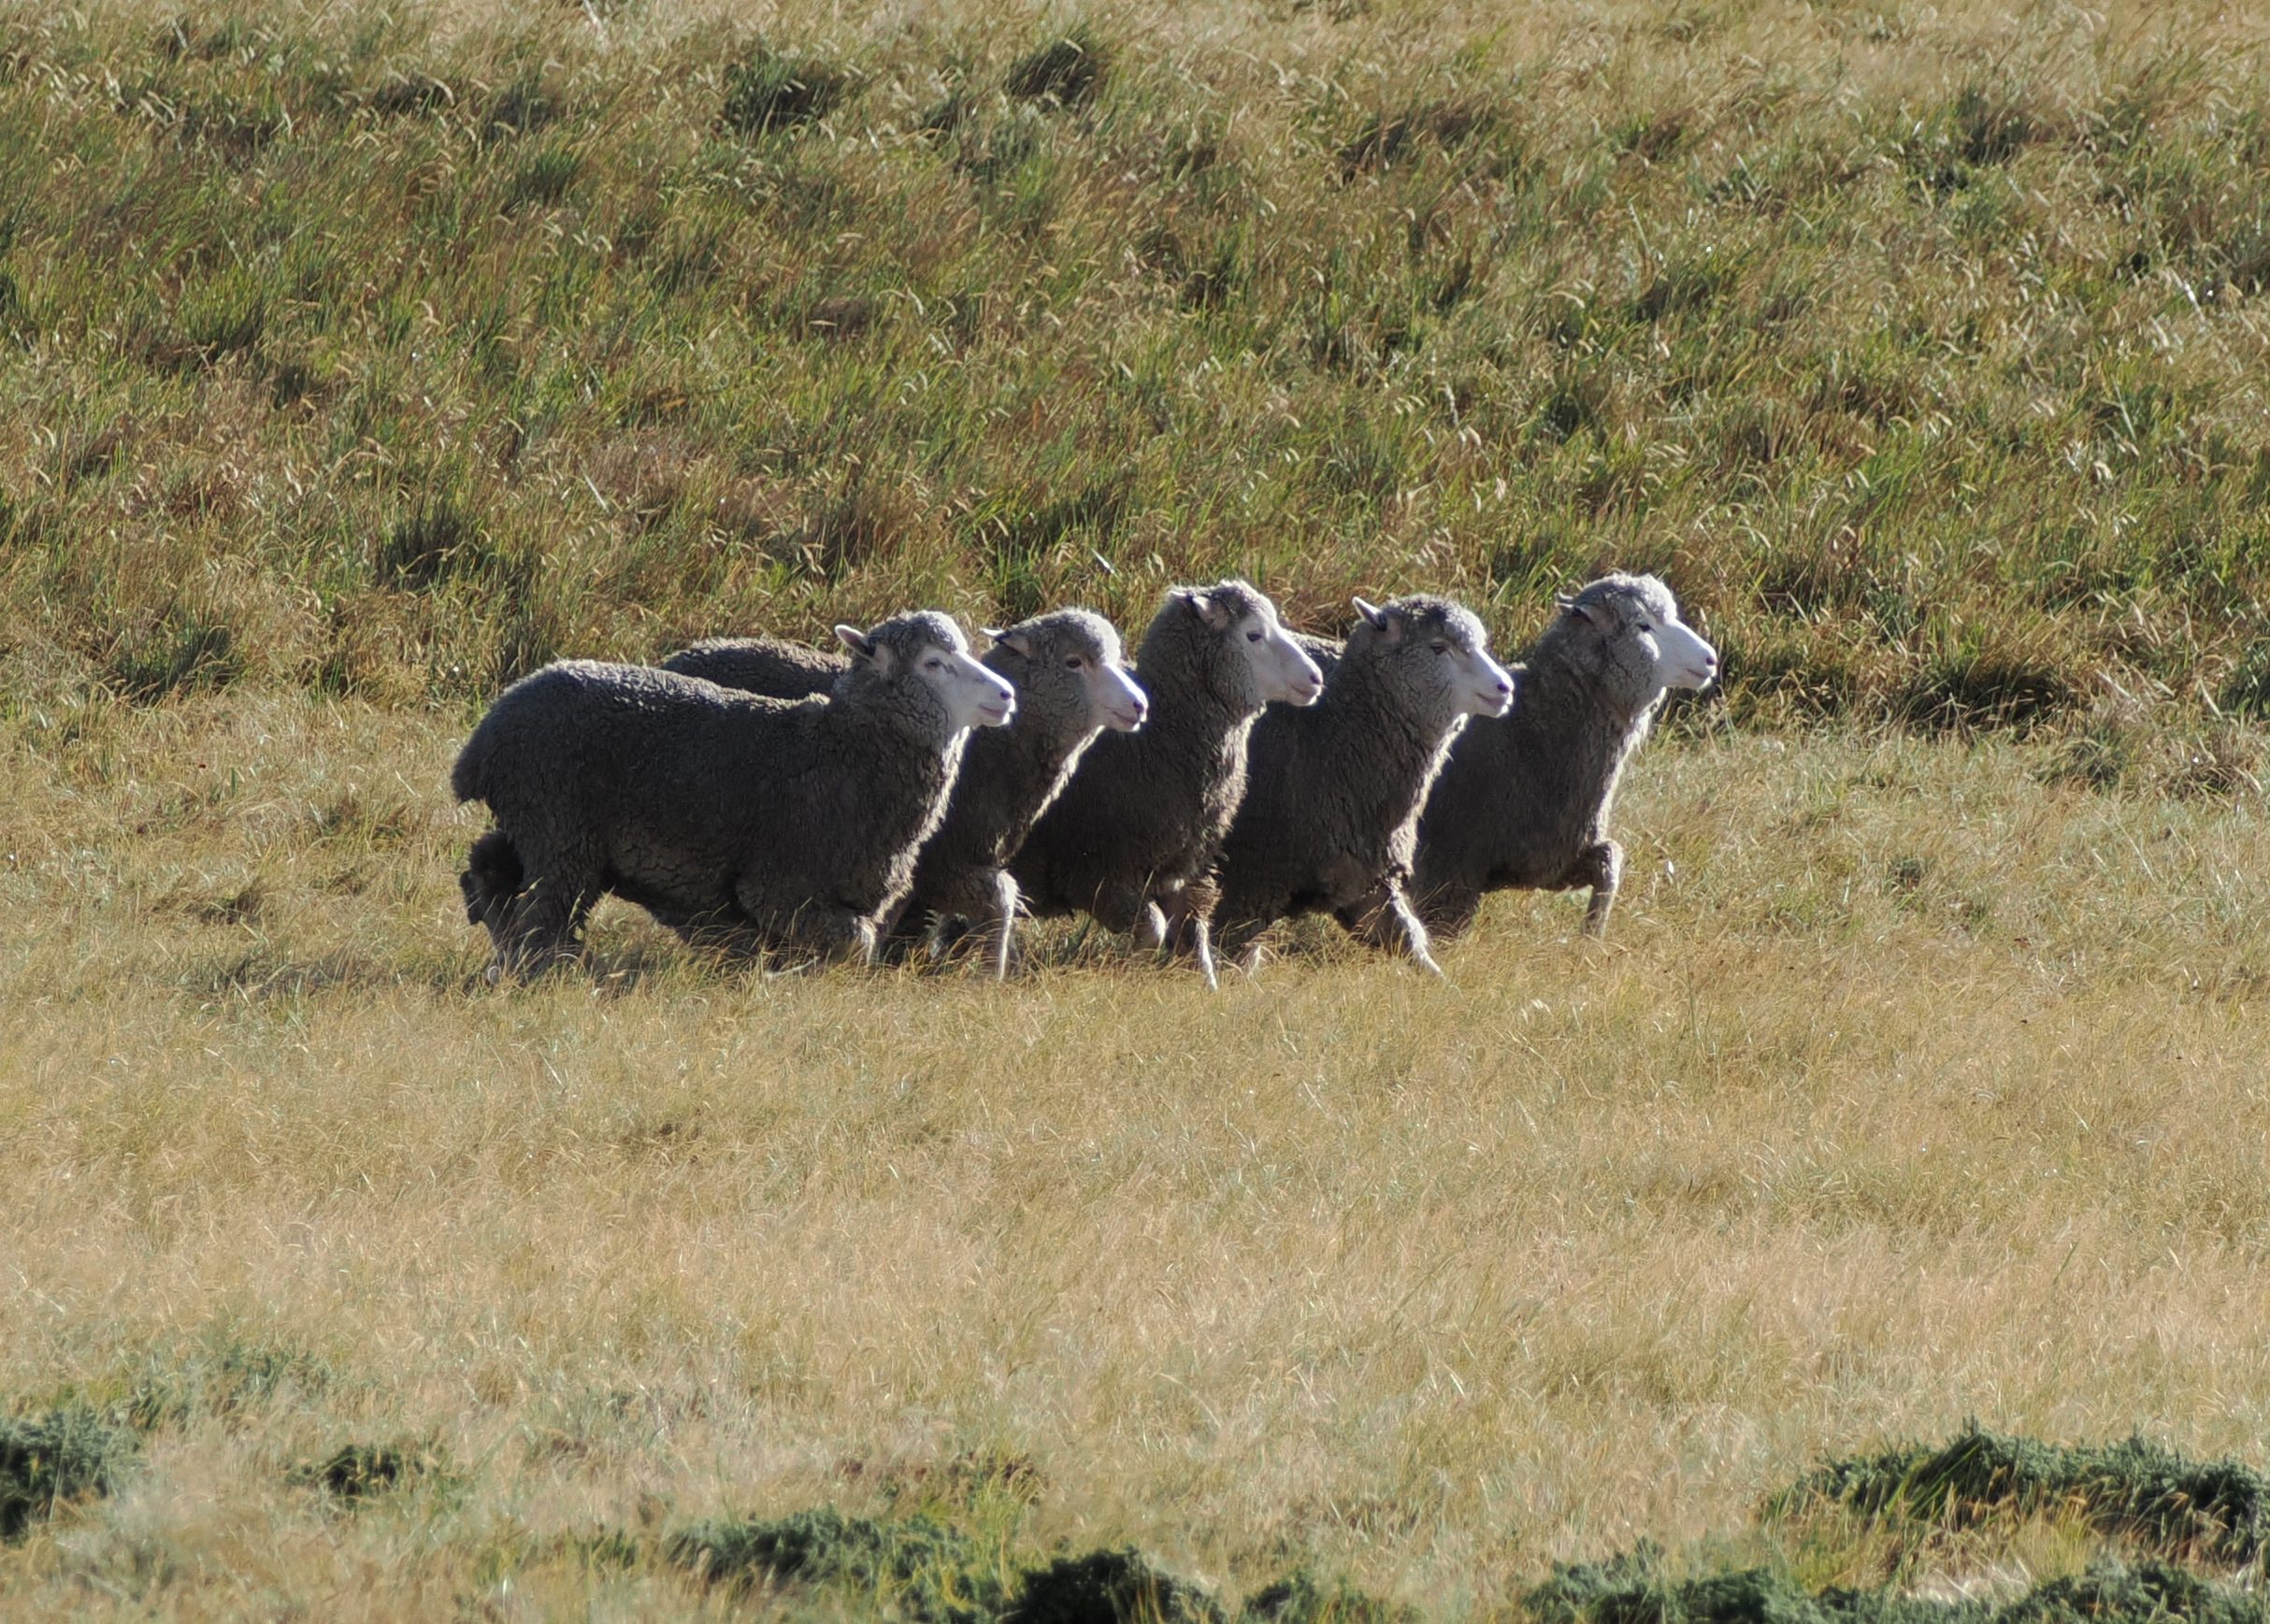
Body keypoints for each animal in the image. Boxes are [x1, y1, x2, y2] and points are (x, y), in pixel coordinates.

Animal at [450, 611, 1015, 977]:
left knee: (487, 871)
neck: (845, 751)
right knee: (543, 916)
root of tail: (483, 740)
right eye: (933, 663)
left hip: (538, 826)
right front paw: (780, 976)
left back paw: (509, 952)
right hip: (560, 830)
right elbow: (855, 942)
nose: (1007, 694)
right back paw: (546, 970)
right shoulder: (777, 886)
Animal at [661, 609, 1149, 978]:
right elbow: (991, 900)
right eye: (1074, 662)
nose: (1140, 705)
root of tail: (678, 658)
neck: (995, 755)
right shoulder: (939, 861)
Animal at [1010, 579, 1324, 988]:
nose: (1316, 679)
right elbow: (1153, 931)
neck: (1160, 740)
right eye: (1253, 634)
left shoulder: (1179, 872)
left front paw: (1208, 990)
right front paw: (1127, 974)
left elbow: (1195, 939)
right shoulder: (1097, 874)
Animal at [1208, 594, 1515, 975]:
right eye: (1438, 647)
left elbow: (1409, 941)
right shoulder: (1247, 883)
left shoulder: (1367, 878)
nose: (1505, 687)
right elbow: (1236, 963)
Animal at [1409, 572, 1717, 940]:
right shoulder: (1450, 868)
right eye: (1643, 625)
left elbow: (1610, 858)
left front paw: (1592, 933)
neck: (1535, 731)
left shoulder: (1550, 858)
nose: (1711, 659)